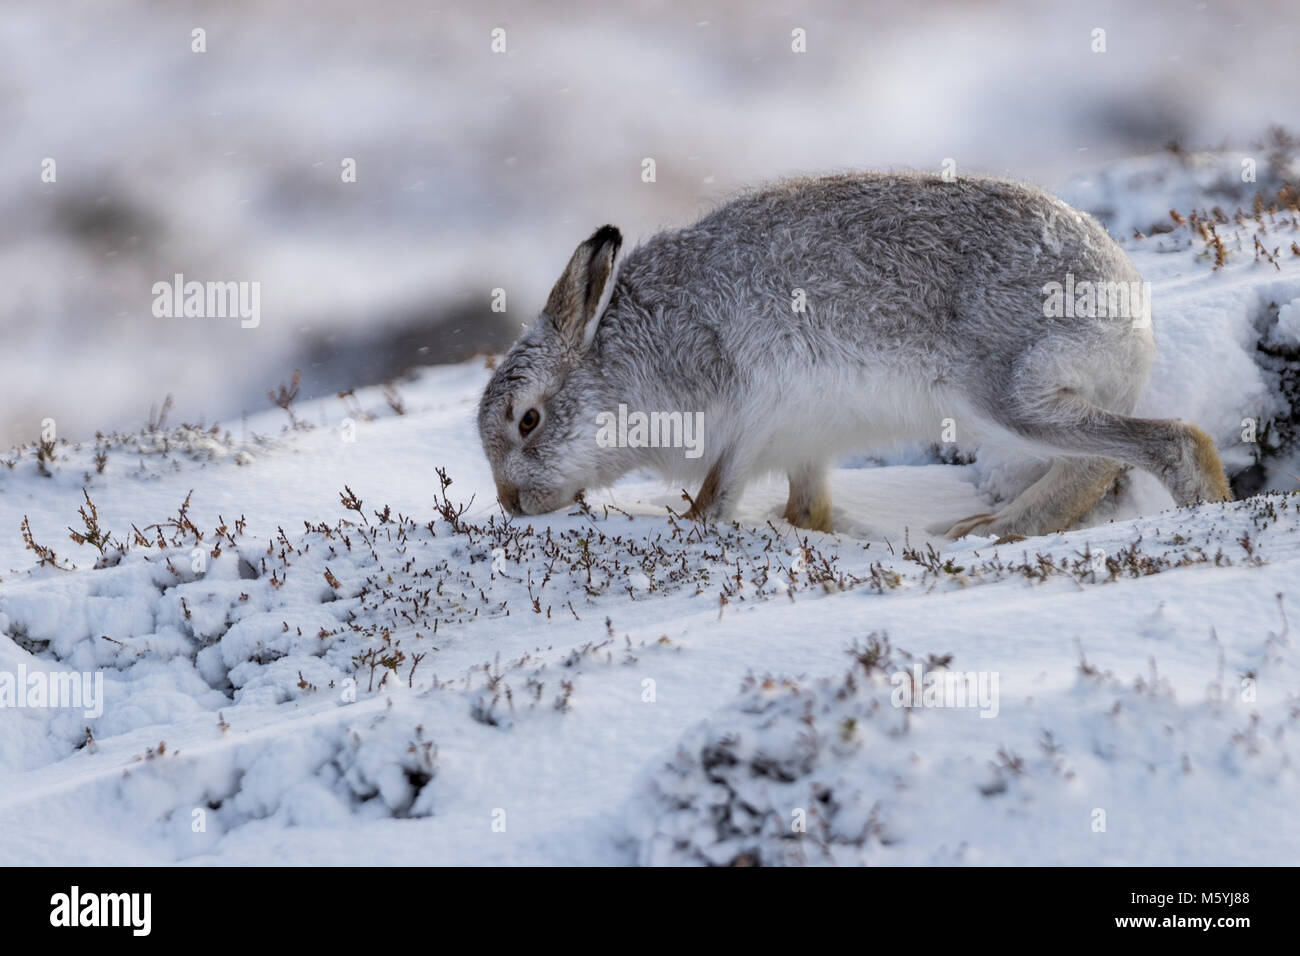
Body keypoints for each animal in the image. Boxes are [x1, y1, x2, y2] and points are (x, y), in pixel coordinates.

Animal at [477, 172, 1231, 538]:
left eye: (528, 421)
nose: (513, 504)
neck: (622, 369)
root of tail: (1124, 293)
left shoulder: (752, 417)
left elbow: (717, 500)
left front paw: (684, 527)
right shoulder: (804, 440)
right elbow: (805, 511)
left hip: (1007, 396)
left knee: (1164, 443)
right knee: (1092, 464)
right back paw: (989, 531)